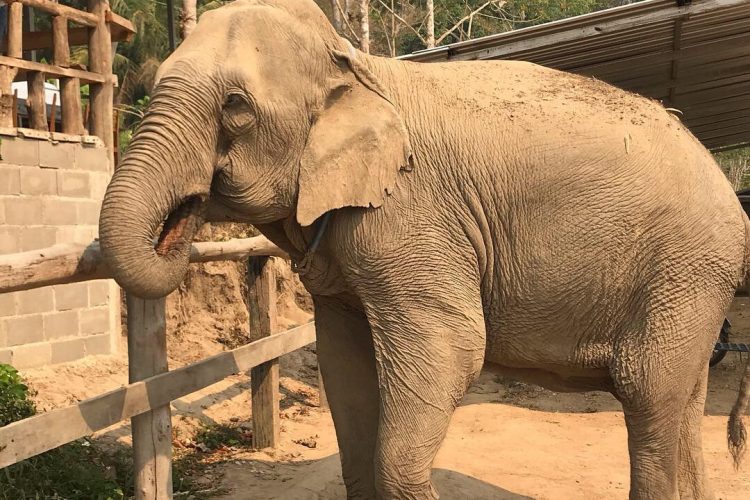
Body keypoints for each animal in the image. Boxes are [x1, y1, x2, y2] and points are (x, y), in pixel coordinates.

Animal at [98, 0, 750, 498]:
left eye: (235, 108)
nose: (183, 218)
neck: (355, 66)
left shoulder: (414, 216)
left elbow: (453, 348)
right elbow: (344, 363)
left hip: (686, 270)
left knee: (650, 398)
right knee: (680, 405)